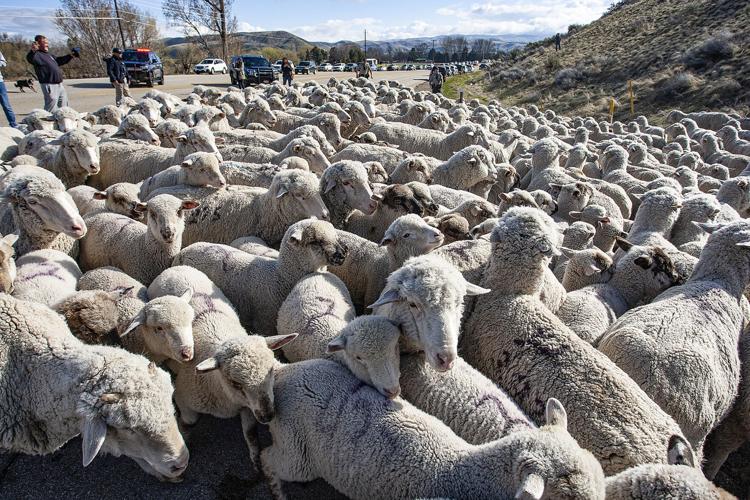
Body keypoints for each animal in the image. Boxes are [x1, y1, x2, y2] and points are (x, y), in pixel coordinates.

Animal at [175, 219, 348, 336]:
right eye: (315, 241)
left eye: (334, 235)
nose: (342, 254)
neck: (281, 276)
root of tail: (184, 251)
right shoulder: (264, 322)